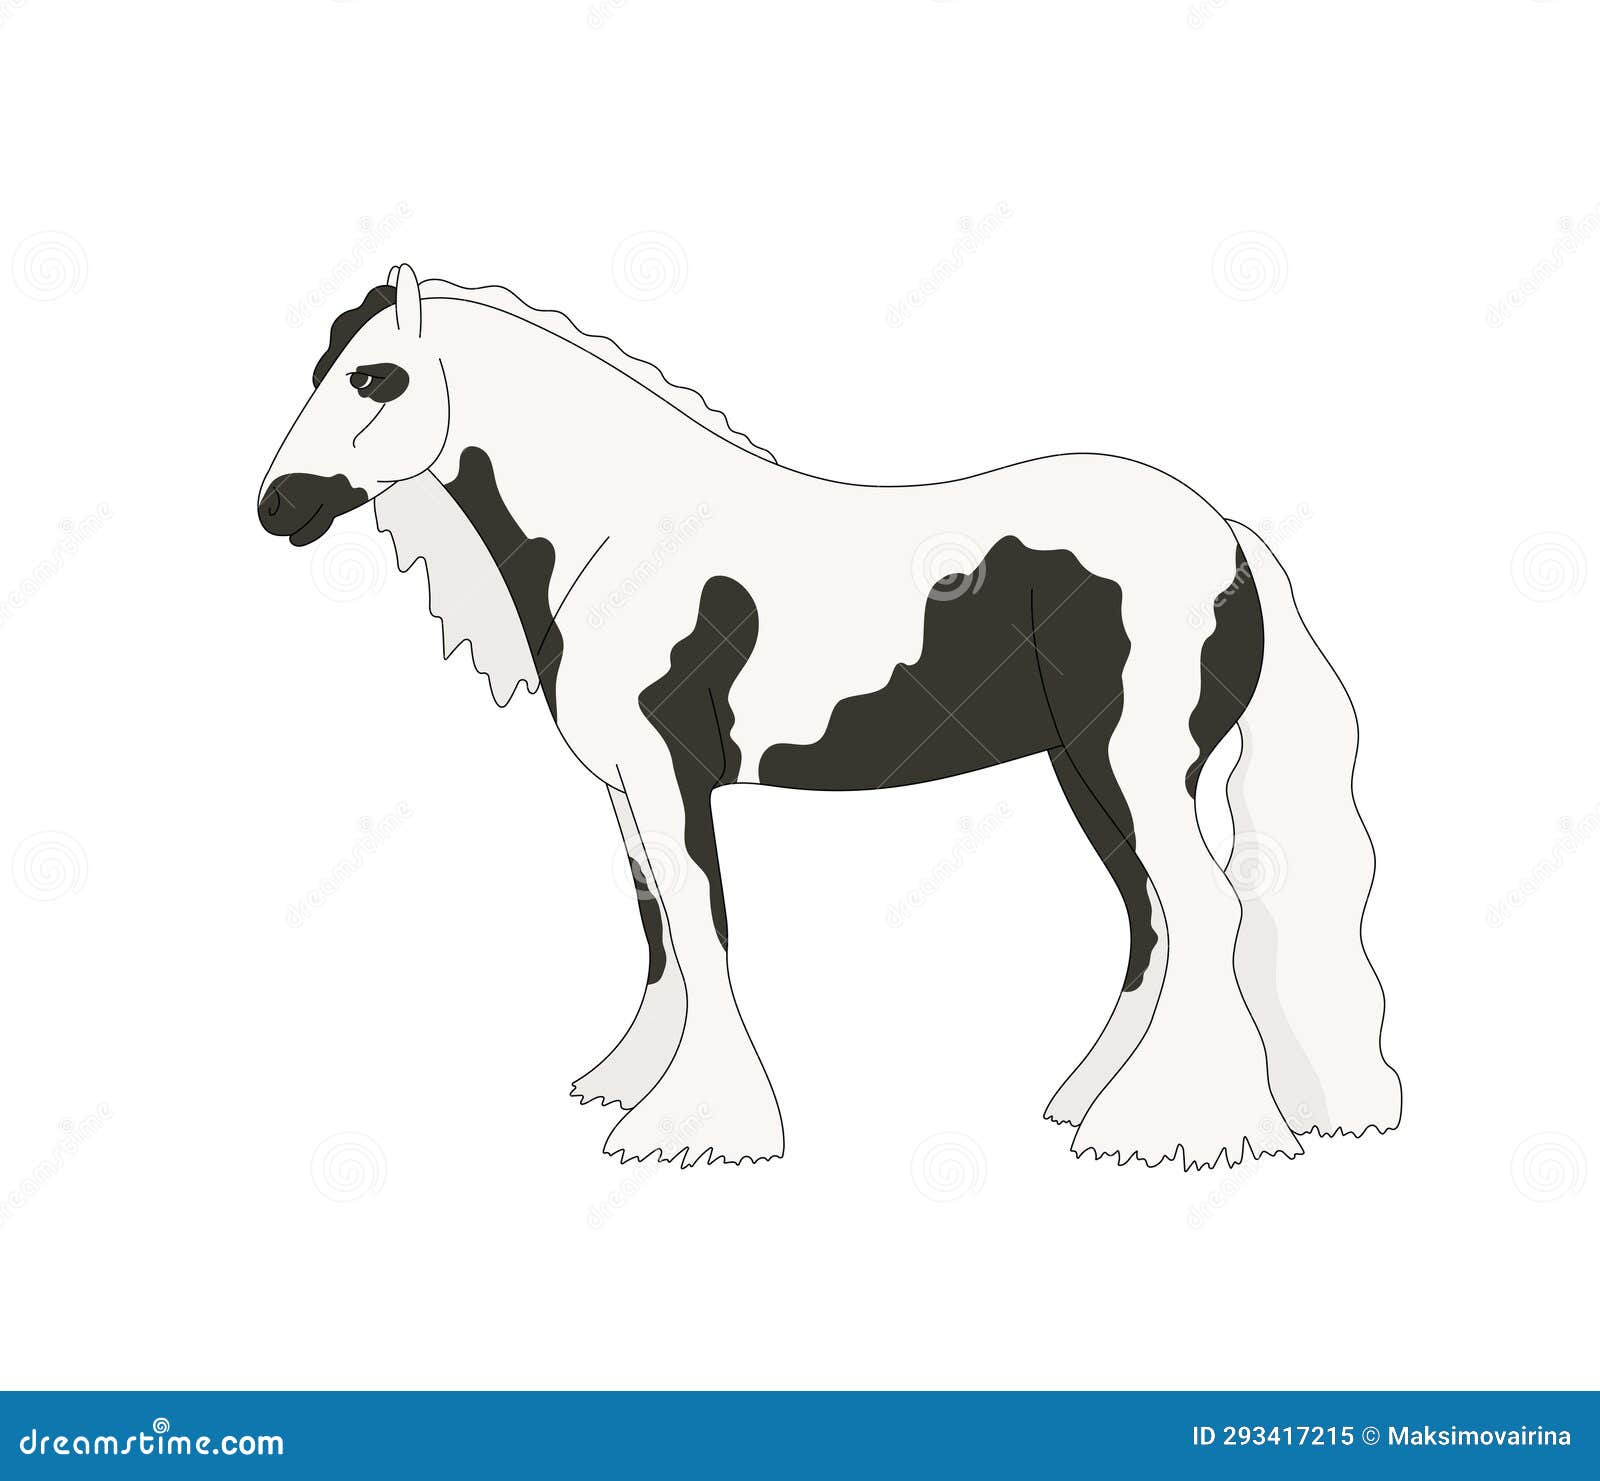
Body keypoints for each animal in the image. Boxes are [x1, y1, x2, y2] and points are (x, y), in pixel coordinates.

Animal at [257, 263, 1401, 1171]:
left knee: (1203, 911)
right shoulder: (625, 787)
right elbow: (659, 931)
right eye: (321, 371)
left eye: (376, 377)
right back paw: (1089, 1103)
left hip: (1132, 765)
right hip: (1088, 771)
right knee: (1151, 920)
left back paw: (1173, 1131)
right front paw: (631, 1082)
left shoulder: (669, 773)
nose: (278, 507)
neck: (628, 542)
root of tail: (1230, 540)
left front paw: (697, 1128)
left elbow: (704, 924)